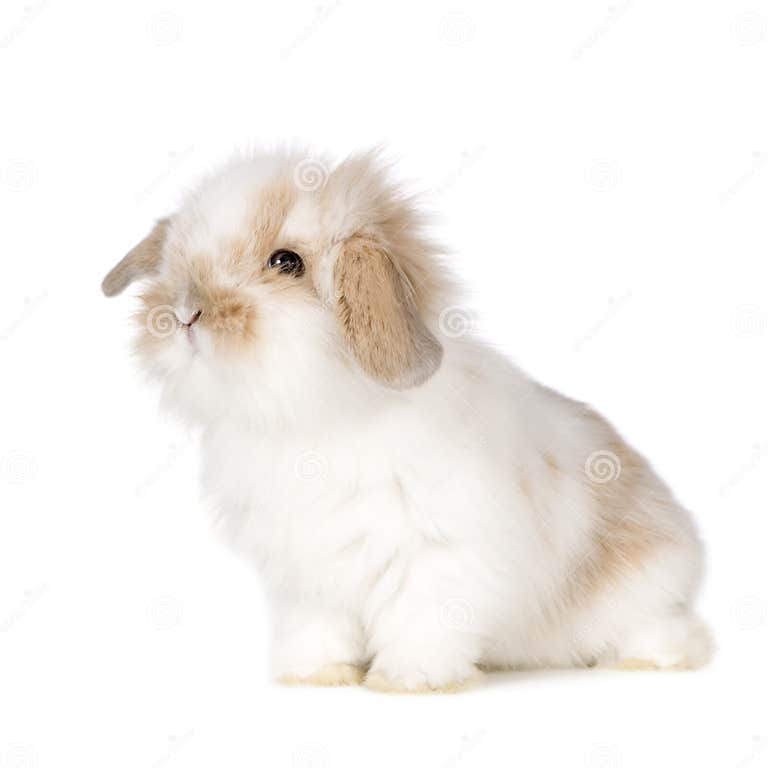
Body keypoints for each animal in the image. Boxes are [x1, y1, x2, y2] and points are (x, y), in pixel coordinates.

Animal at [102, 149, 712, 692]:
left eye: (286, 262)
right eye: (175, 260)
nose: (184, 313)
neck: (315, 415)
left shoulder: (436, 556)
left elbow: (422, 620)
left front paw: (409, 681)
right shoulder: (308, 574)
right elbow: (318, 628)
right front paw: (315, 675)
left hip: (644, 592)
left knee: (672, 631)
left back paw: (649, 661)